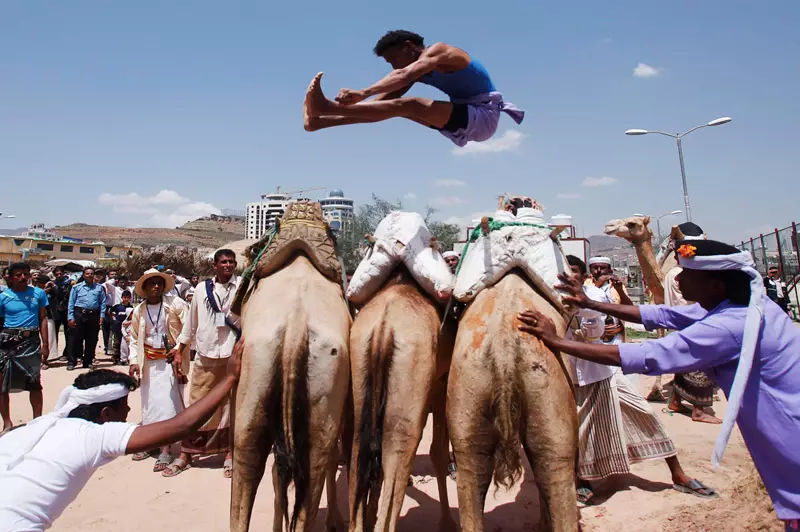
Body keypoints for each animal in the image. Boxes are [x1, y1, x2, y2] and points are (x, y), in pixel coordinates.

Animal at [348, 268, 460, 532]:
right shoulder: (440, 381)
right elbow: (438, 451)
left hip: (360, 362)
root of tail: (383, 326)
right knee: (398, 455)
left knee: (361, 454)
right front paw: (448, 523)